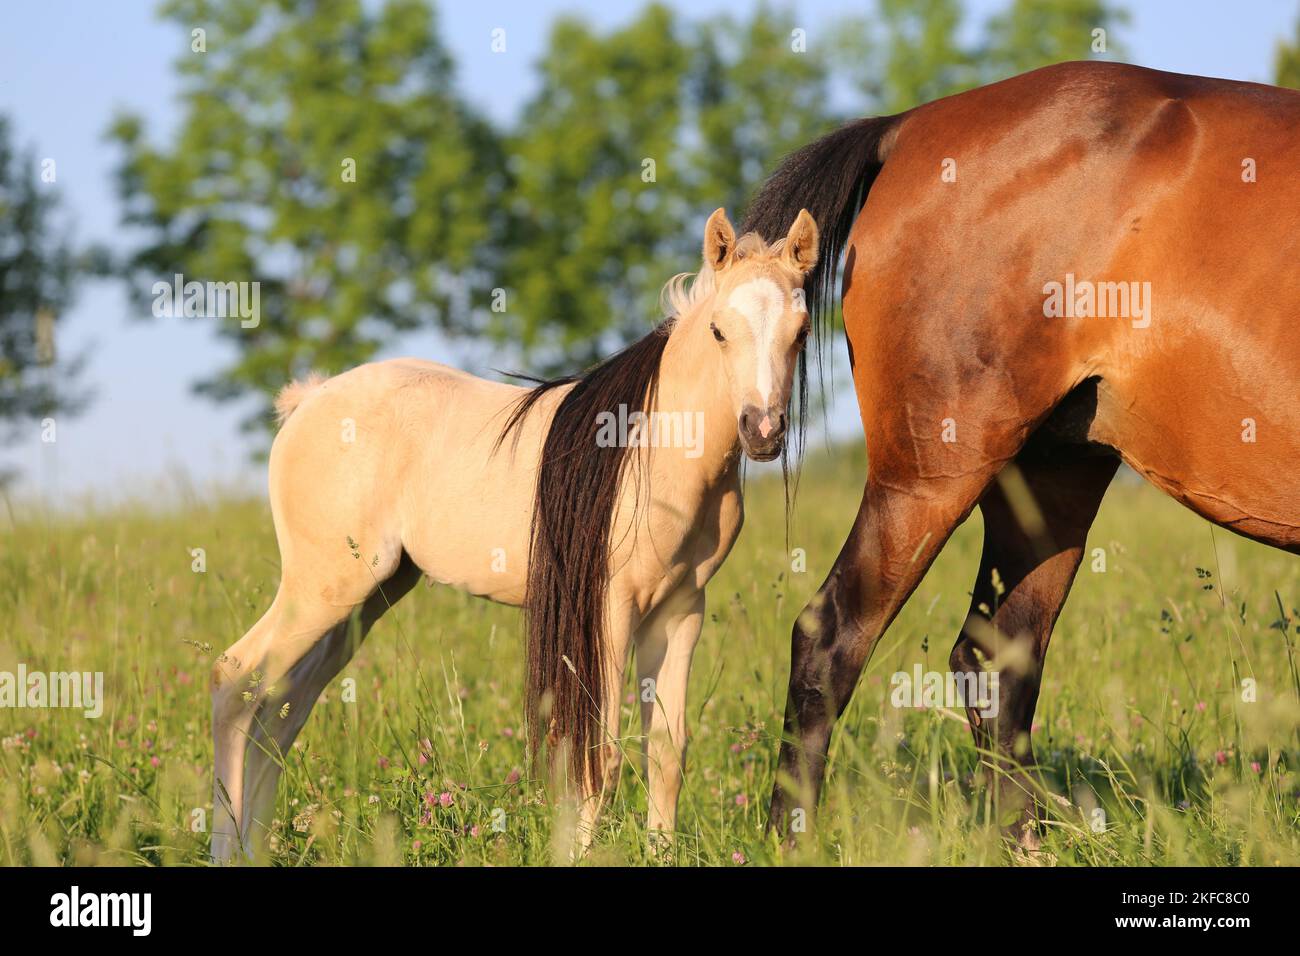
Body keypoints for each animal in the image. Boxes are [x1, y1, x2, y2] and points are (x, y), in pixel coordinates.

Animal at [209, 207, 822, 861]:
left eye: (801, 331)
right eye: (718, 331)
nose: (762, 431)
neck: (652, 446)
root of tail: (307, 402)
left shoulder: (680, 609)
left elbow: (665, 750)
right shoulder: (608, 606)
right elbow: (598, 752)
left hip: (363, 601)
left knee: (278, 709)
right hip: (322, 590)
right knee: (235, 679)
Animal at [741, 60, 1300, 845]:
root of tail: (904, 129)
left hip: (1049, 478)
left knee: (996, 657)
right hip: (928, 479)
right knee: (831, 639)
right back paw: (794, 837)